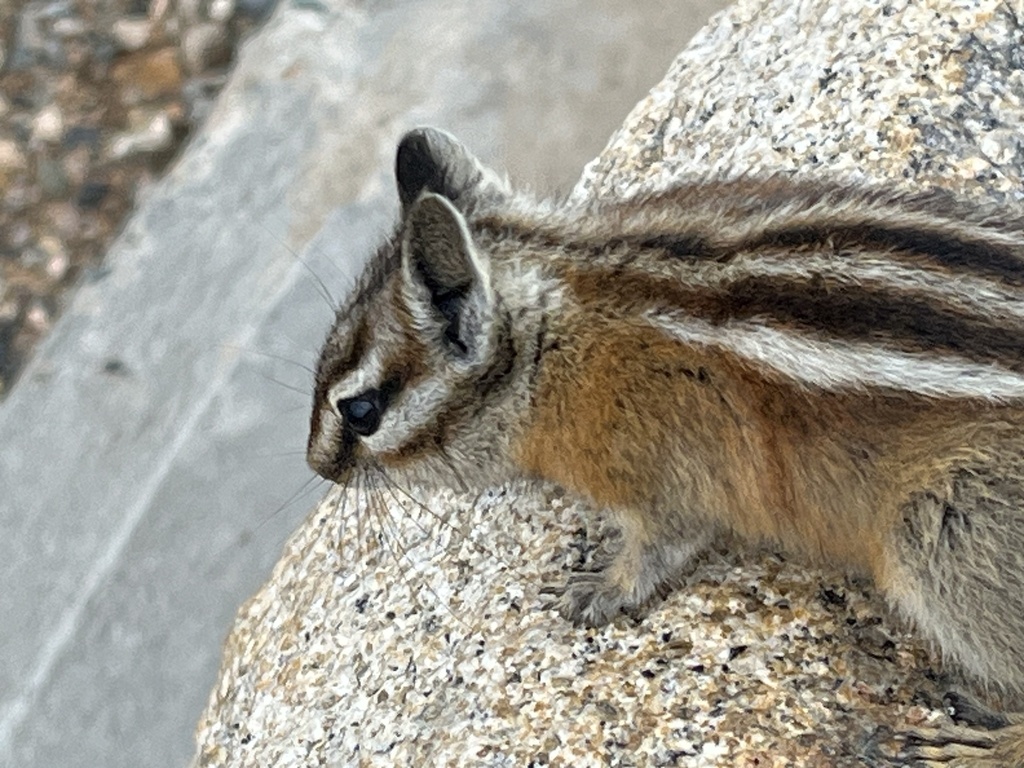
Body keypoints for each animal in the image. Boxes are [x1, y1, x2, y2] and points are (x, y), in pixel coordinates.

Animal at [306, 127, 1024, 766]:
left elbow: (659, 547)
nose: (317, 465)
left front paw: (599, 587)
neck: (562, 338)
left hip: (945, 528)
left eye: (360, 410)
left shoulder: (664, 482)